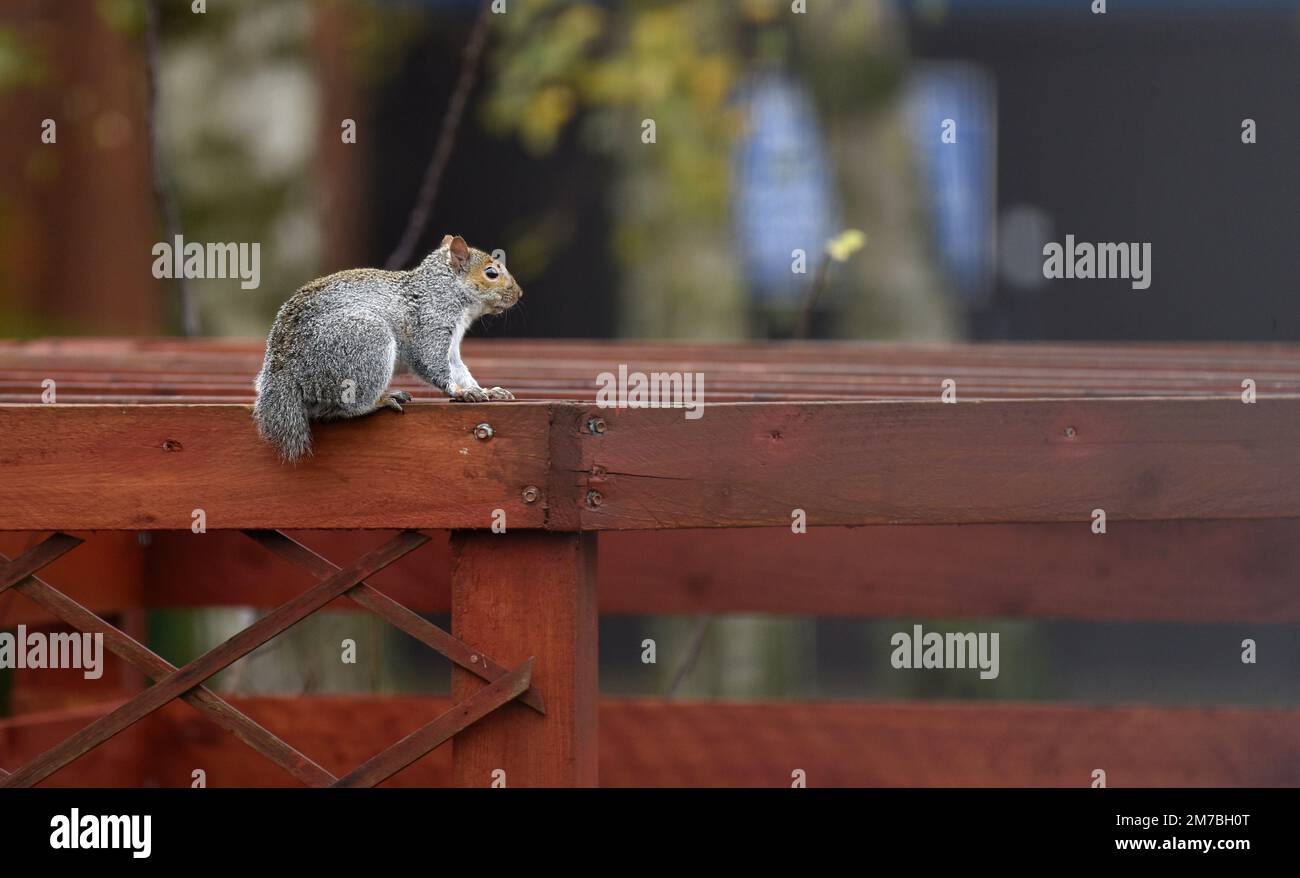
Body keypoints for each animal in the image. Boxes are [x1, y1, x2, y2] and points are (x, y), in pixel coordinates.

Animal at [252, 234, 522, 462]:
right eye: (491, 273)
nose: (519, 293)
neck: (442, 291)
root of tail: (287, 371)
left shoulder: (452, 346)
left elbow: (460, 370)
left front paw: (484, 390)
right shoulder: (430, 326)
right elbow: (431, 363)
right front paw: (460, 391)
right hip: (366, 343)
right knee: (348, 407)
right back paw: (381, 400)